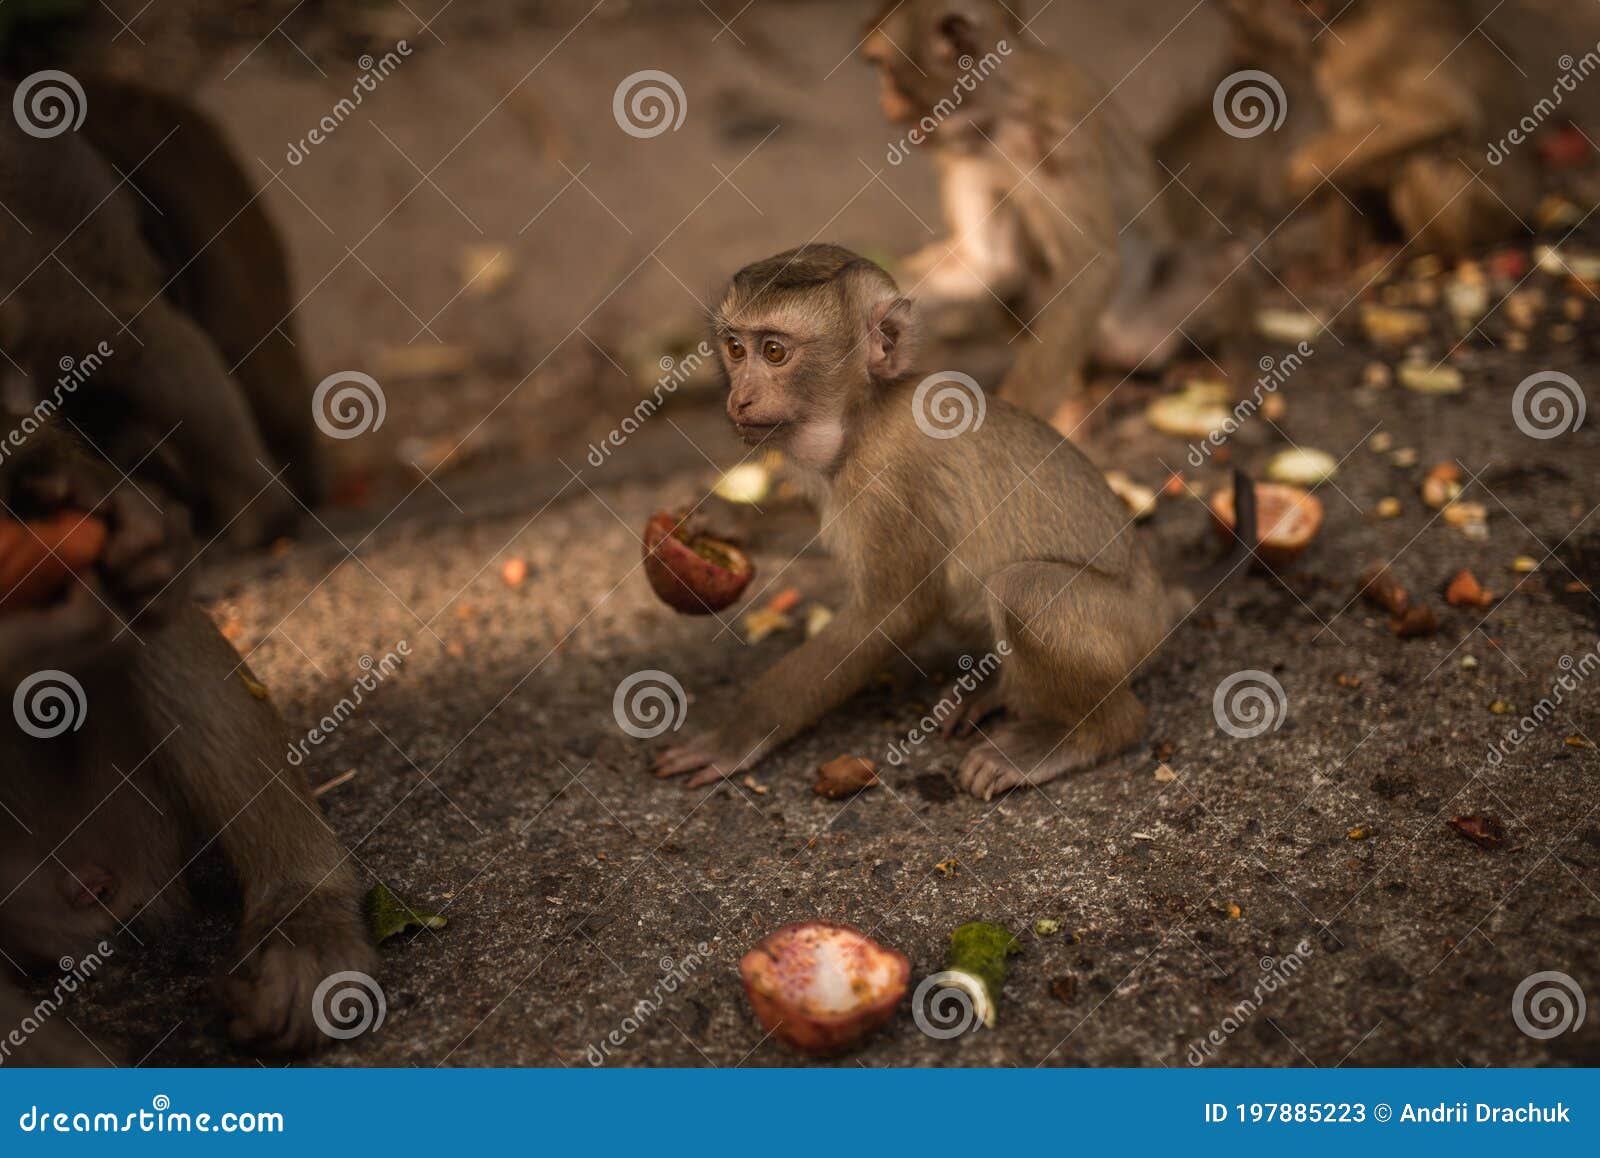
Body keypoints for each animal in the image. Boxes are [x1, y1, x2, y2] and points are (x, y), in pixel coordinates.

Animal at [650, 246, 1256, 800]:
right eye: (735, 348)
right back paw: (997, 693)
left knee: (1024, 589)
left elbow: (890, 615)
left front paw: (735, 735)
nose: (740, 396)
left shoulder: (889, 479)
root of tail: (1160, 600)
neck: (860, 416)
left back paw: (1083, 735)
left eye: (774, 352)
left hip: (1128, 633)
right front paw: (723, 522)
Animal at [861, 1, 1247, 433]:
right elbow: (987, 265)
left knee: (1226, 260)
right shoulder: (964, 155)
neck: (998, 112)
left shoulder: (1058, 128)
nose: (883, 101)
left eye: (884, 67)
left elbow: (1090, 264)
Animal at [1222, 0, 1539, 258]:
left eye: (1239, 21)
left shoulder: (1364, 51)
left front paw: (1302, 175)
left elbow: (1443, 115)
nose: (1237, 47)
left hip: (1488, 213)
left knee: (1428, 157)